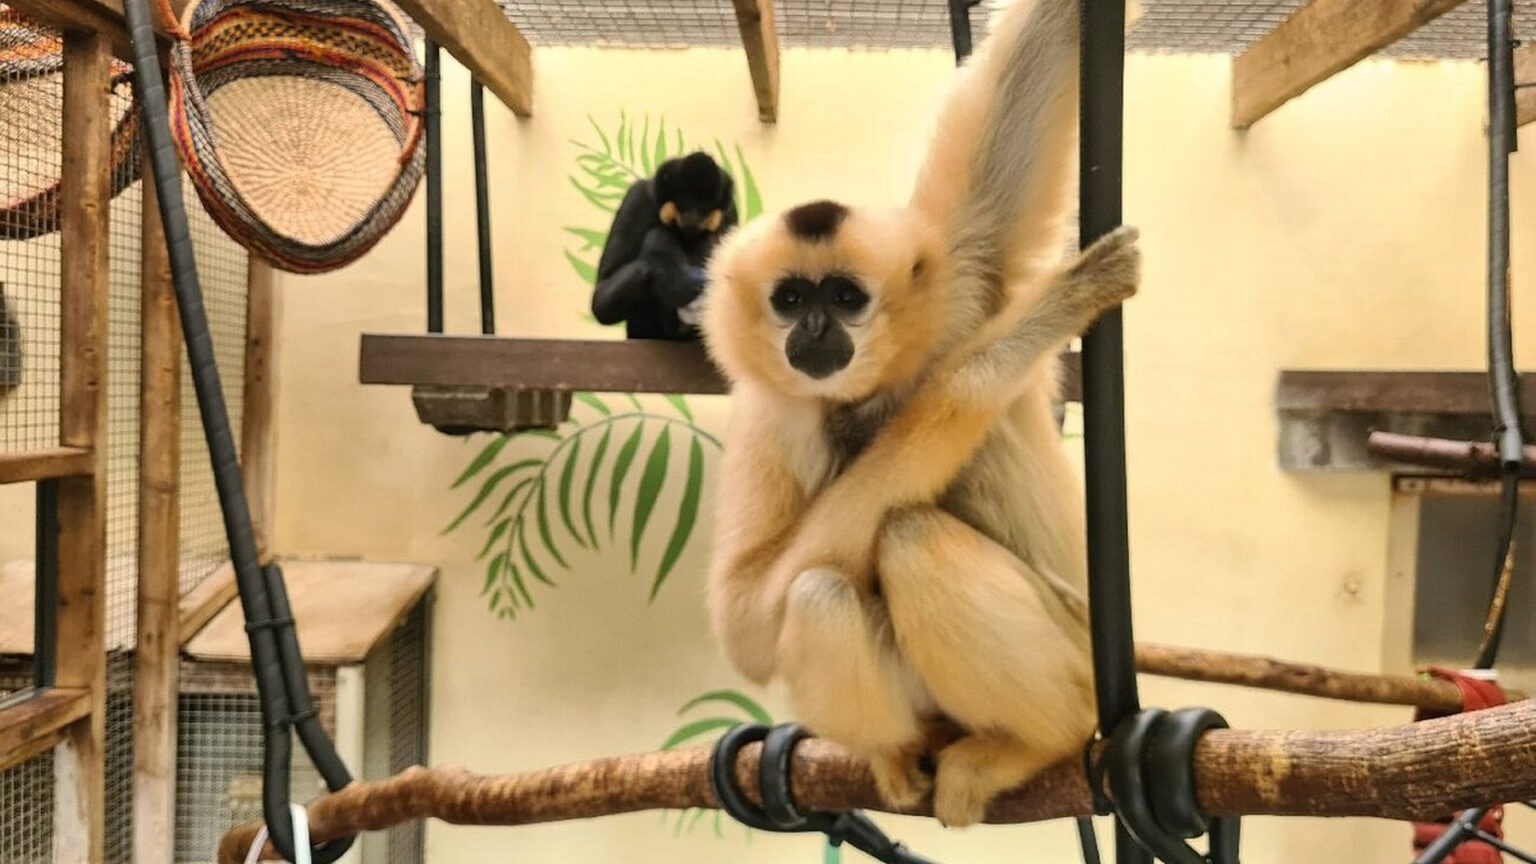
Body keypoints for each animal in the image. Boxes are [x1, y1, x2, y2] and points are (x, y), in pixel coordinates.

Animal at [590, 151, 738, 341]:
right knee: (660, 234)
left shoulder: (730, 211)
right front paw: (685, 281)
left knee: (705, 239)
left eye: (703, 208)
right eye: (686, 202)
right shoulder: (637, 197)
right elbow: (601, 300)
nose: (694, 215)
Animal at [698, 0, 1143, 828]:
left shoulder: (960, 280)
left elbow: (1035, 60)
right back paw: (901, 752)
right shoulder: (771, 417)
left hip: (1075, 654)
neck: (873, 394)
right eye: (790, 298)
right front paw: (997, 363)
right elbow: (745, 619)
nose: (814, 330)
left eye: (845, 296)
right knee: (820, 592)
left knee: (906, 541)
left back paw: (1039, 742)